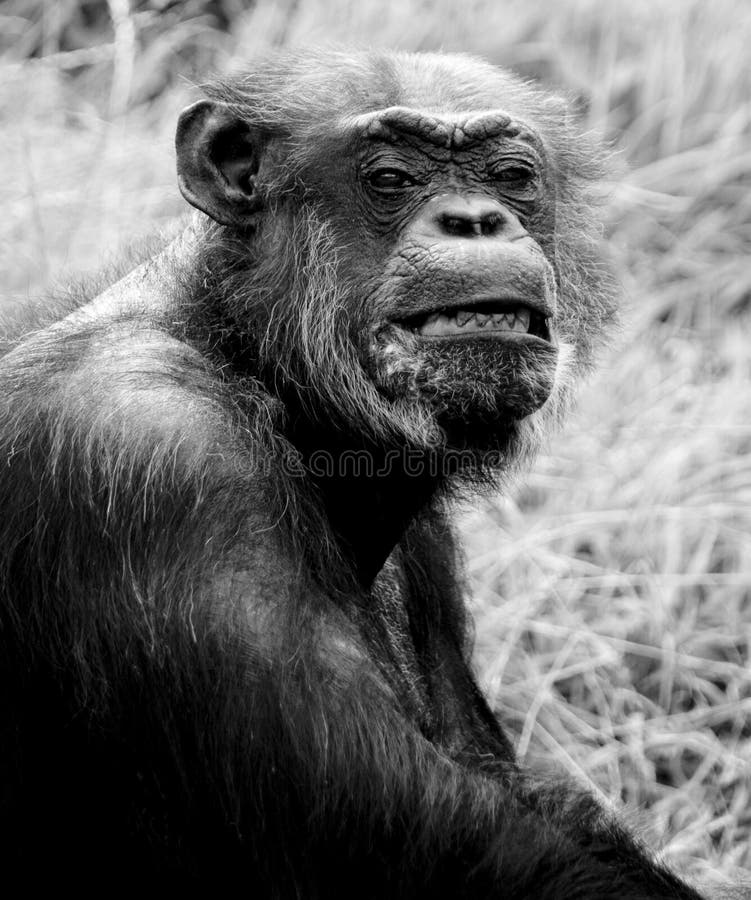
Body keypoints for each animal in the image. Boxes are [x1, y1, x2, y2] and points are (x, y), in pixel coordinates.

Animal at [0, 47, 713, 897]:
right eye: (391, 178)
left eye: (512, 175)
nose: (474, 220)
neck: (243, 347)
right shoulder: (159, 463)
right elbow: (413, 819)